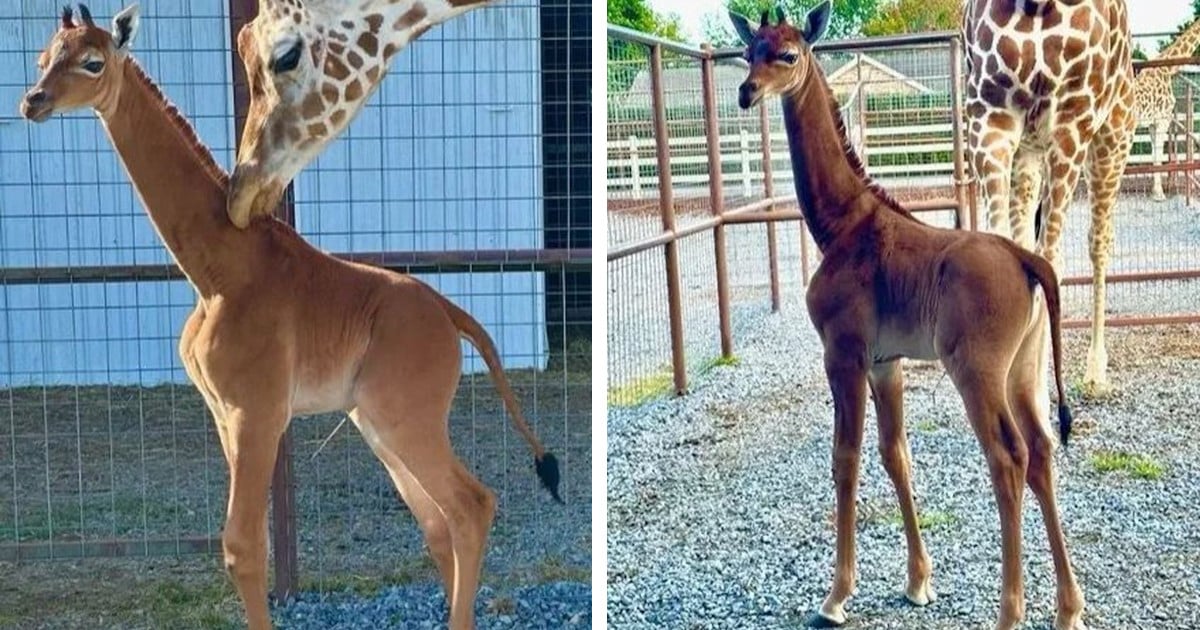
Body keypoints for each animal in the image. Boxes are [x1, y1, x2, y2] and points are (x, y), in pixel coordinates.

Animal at [732, 4, 1084, 629]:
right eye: (749, 51)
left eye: (789, 54)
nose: (748, 92)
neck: (841, 225)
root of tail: (1028, 259)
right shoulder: (885, 362)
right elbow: (896, 455)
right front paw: (919, 582)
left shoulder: (843, 355)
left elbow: (845, 458)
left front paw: (837, 596)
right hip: (1024, 370)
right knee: (1042, 452)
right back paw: (1069, 609)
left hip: (977, 372)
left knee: (1008, 458)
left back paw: (1010, 611)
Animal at [963, 0, 1136, 397]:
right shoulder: (989, 116)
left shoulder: (1071, 123)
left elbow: (1051, 261)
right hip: (1028, 153)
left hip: (1112, 138)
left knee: (1099, 241)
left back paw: (1095, 371)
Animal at [1134, 17, 1200, 202]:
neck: (1167, 68)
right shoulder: (1162, 119)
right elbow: (1158, 154)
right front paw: (1159, 194)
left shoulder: (1152, 123)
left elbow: (1155, 154)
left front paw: (1155, 192)